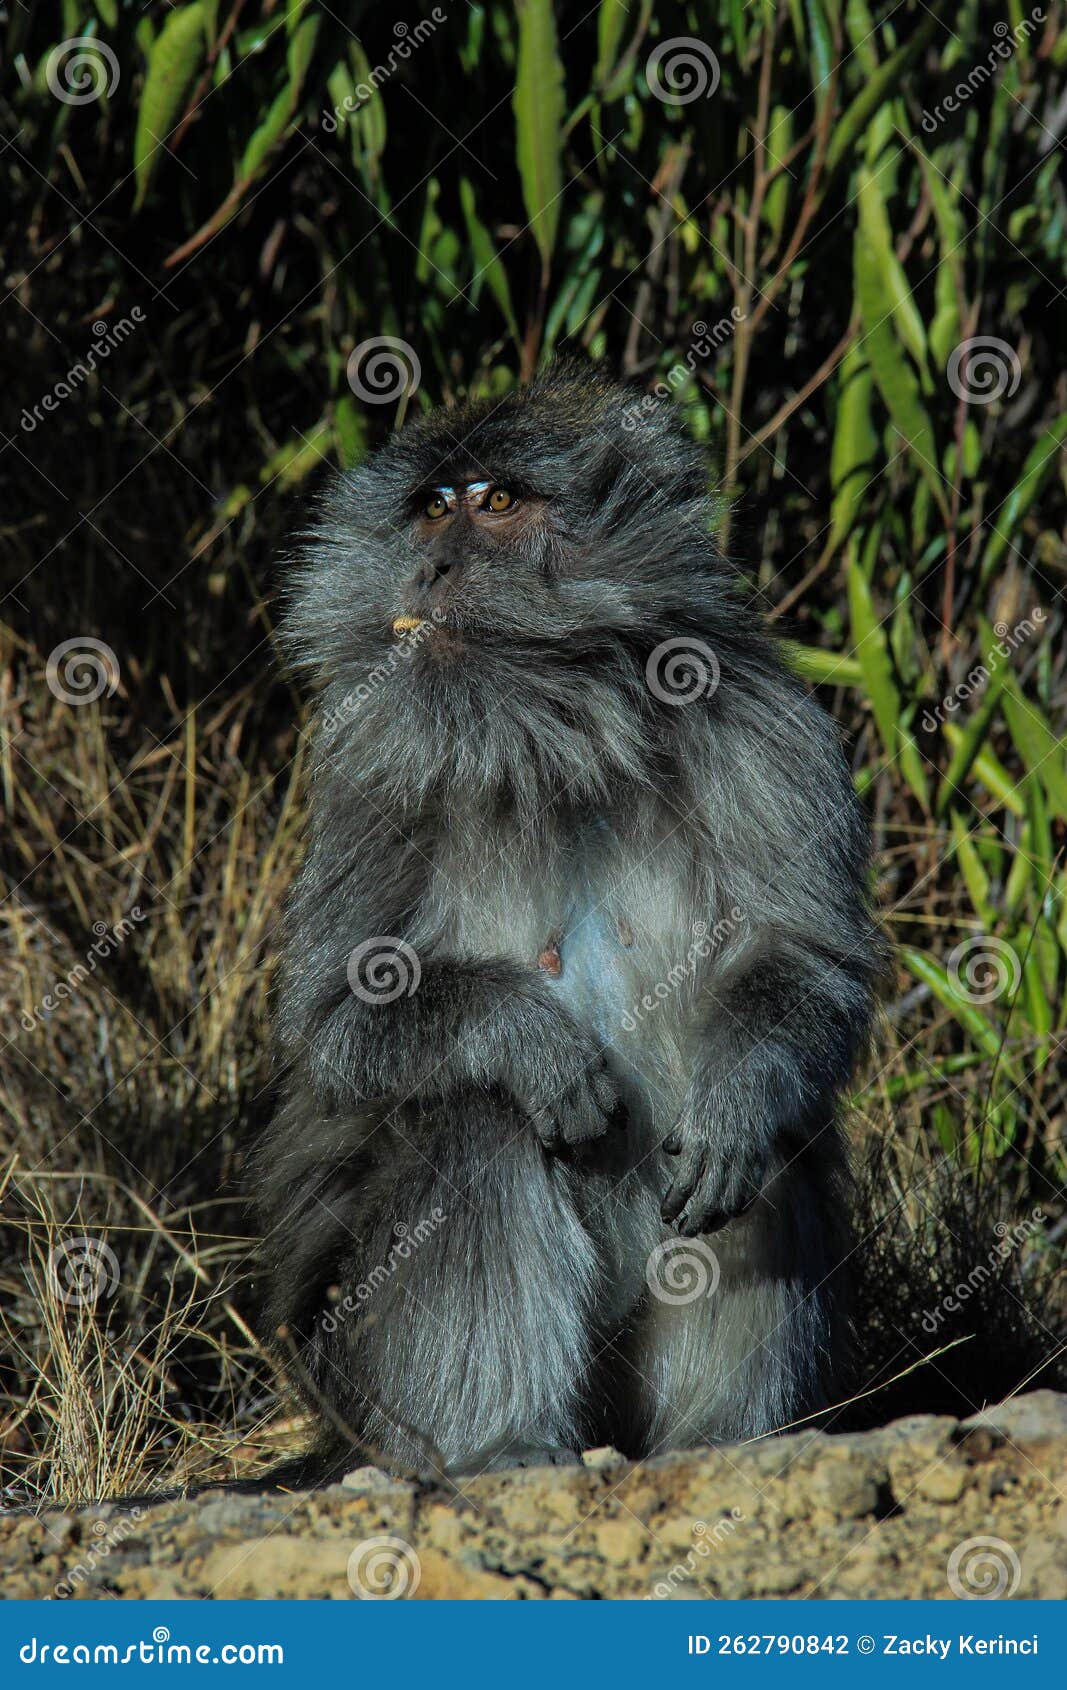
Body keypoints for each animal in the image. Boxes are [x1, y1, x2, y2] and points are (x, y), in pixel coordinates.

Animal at [251, 360, 878, 1483]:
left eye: (497, 502)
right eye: (431, 510)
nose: (434, 566)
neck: (560, 728)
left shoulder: (763, 722)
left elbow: (806, 964)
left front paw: (737, 1096)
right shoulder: (364, 763)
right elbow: (335, 1025)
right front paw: (523, 1037)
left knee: (756, 1159)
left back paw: (716, 1443)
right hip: (358, 1383)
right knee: (474, 1120)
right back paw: (504, 1442)